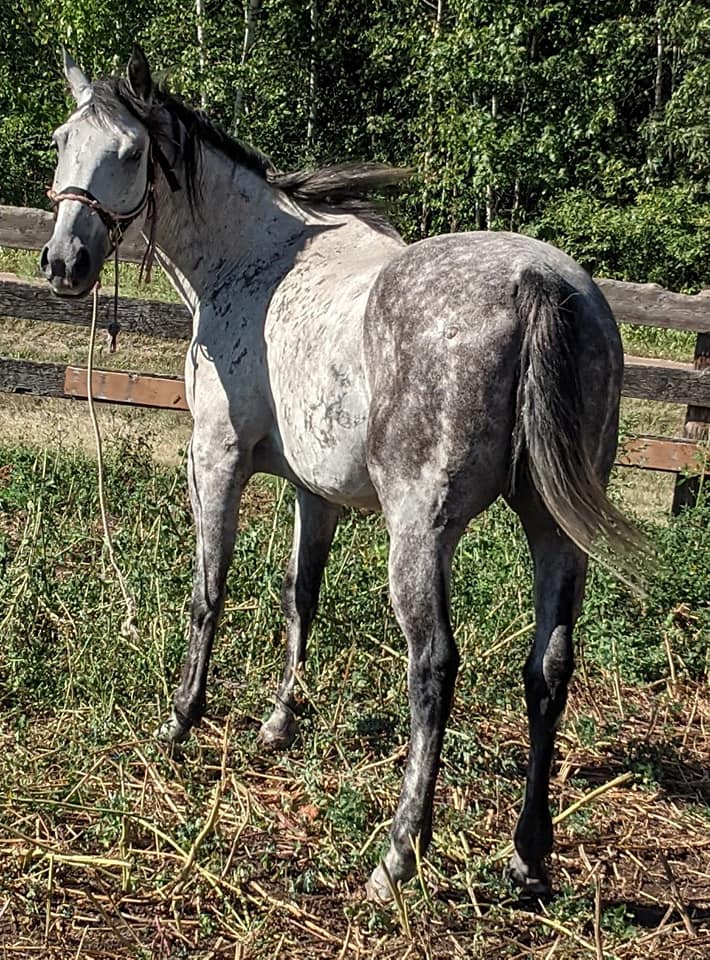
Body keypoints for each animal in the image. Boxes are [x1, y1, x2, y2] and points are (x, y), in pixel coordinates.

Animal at [42, 45, 642, 902]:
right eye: (63, 140)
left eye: (128, 152)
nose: (65, 264)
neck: (255, 264)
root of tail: (540, 284)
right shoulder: (311, 492)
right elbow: (301, 597)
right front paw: (278, 723)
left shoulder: (214, 456)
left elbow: (208, 591)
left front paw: (182, 717)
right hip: (553, 531)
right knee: (548, 671)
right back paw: (528, 857)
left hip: (420, 536)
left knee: (434, 667)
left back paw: (397, 856)